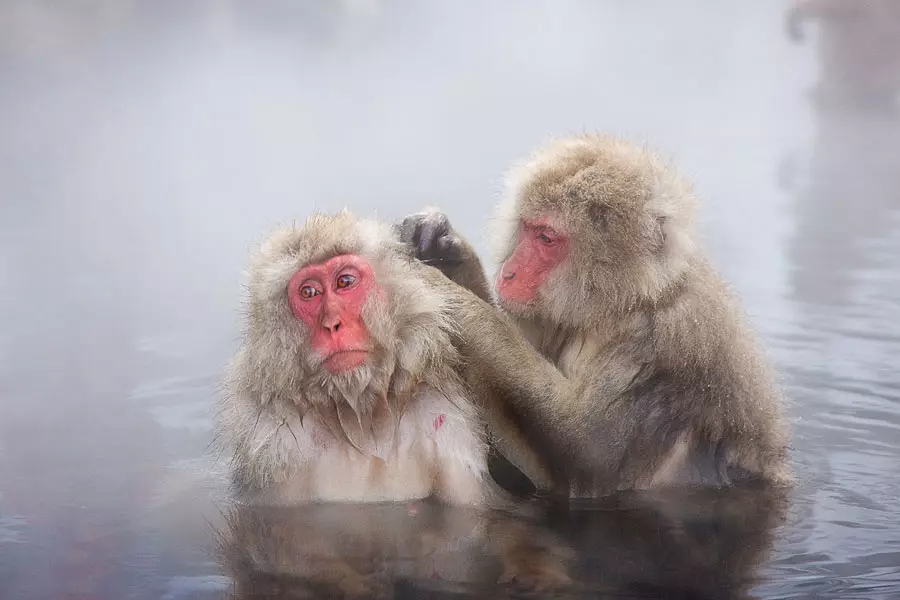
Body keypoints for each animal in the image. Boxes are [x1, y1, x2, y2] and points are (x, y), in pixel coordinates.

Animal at [398, 135, 792, 496]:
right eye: (526, 227)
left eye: (546, 238)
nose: (508, 274)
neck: (629, 300)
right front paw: (443, 243)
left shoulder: (659, 341)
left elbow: (585, 451)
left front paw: (452, 297)